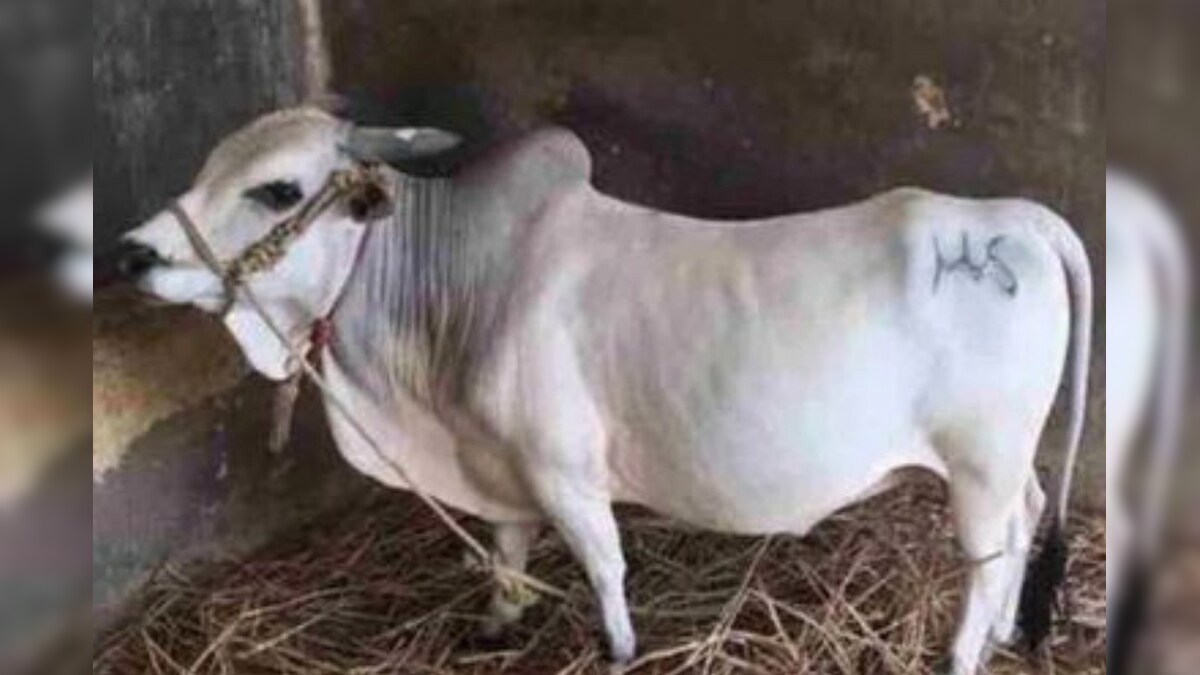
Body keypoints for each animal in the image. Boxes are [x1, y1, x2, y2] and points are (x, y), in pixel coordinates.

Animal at [110, 108, 1093, 674]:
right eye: (209, 162)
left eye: (279, 189)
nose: (132, 252)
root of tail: (1015, 219)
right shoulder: (497, 468)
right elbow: (506, 549)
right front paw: (497, 620)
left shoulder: (563, 468)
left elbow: (603, 565)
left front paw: (616, 649)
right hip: (1005, 465)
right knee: (1023, 522)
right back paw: (1004, 635)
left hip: (979, 461)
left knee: (988, 556)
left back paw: (965, 651)